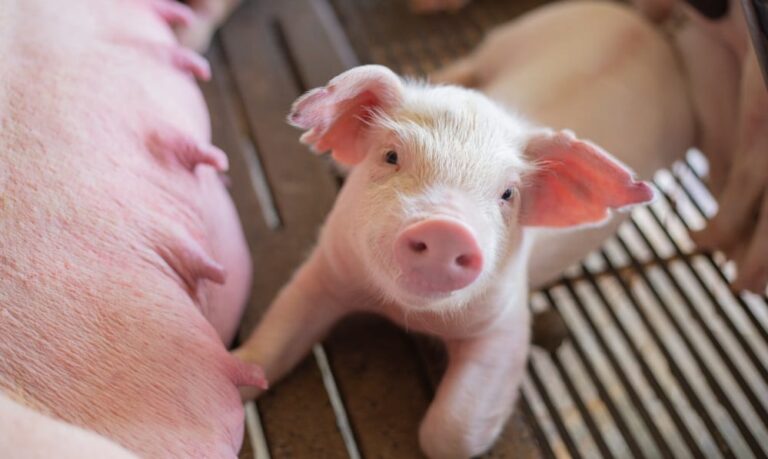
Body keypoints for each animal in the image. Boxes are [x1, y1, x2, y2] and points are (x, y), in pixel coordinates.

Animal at [235, 2, 693, 457]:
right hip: (515, 35)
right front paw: (237, 374)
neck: (404, 313)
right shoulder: (327, 263)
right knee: (467, 66)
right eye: (390, 156)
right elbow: (274, 336)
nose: (446, 229)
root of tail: (640, 23)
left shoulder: (507, 324)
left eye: (508, 193)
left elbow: (449, 432)